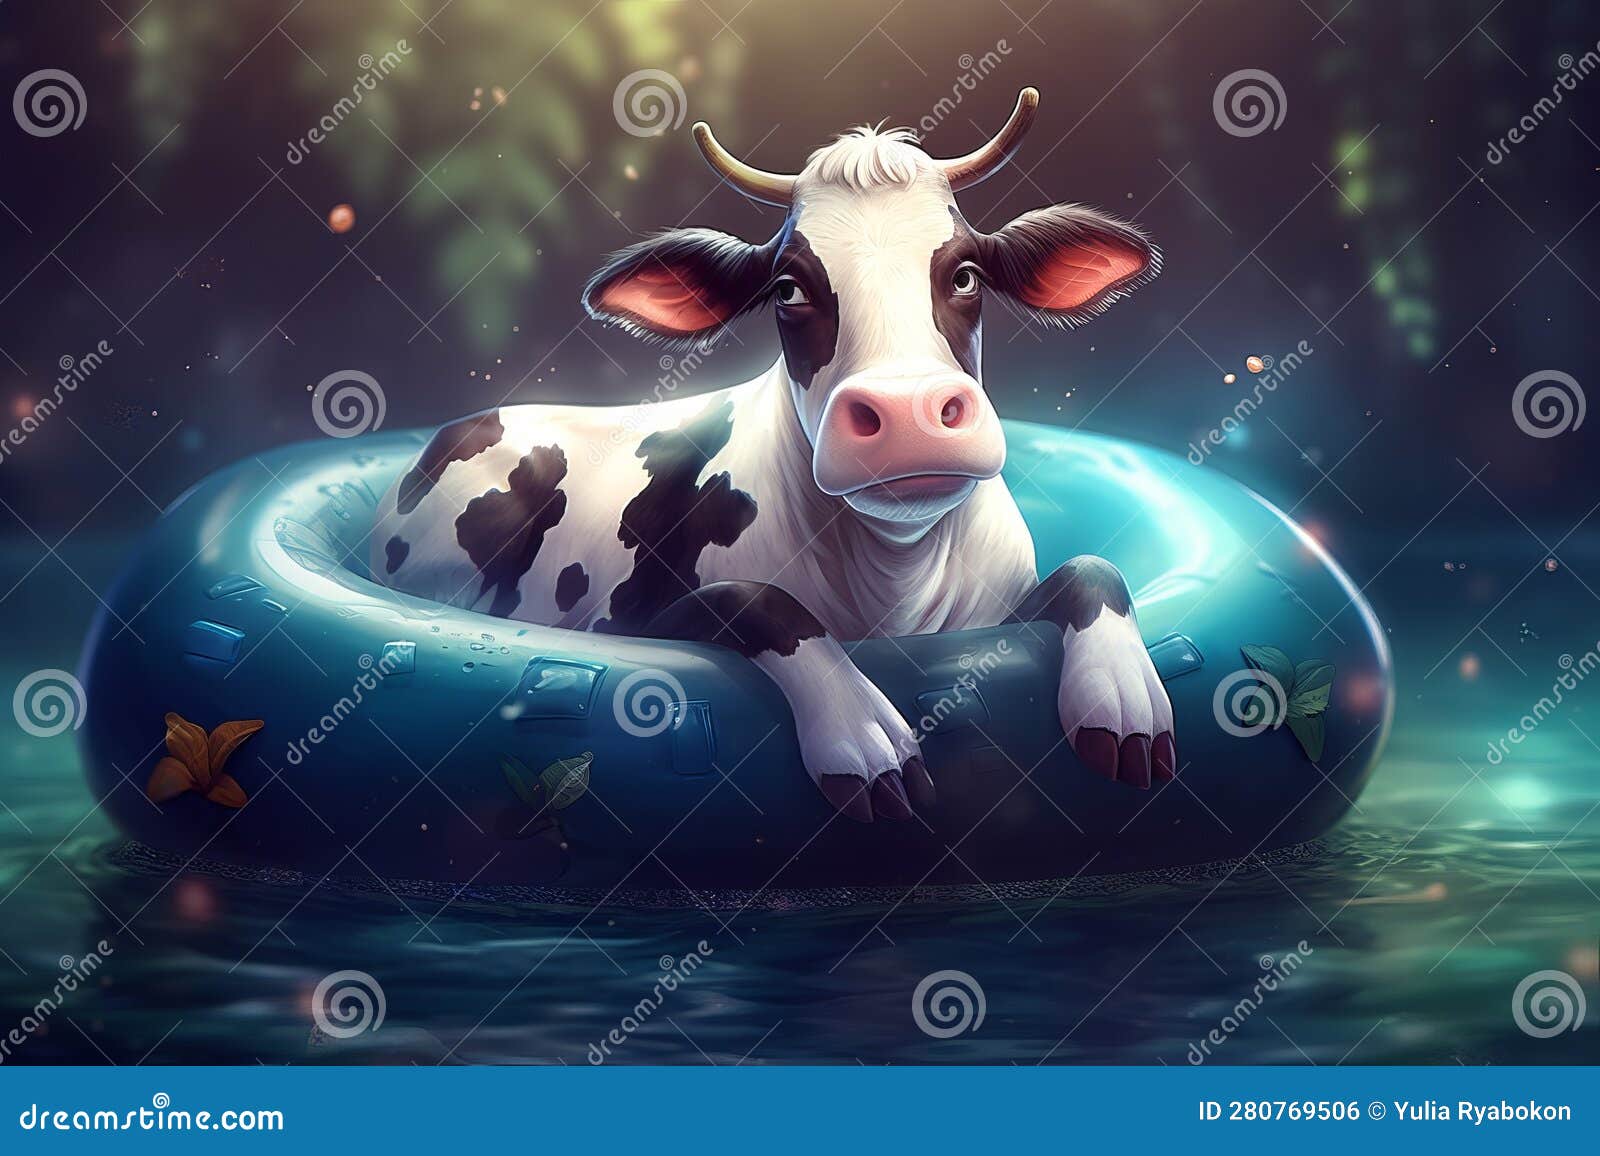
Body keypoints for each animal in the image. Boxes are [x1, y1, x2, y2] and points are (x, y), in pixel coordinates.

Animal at [372, 88, 1175, 823]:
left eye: (966, 274)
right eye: (789, 288)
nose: (908, 414)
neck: (895, 577)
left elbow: (1093, 571)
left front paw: (1125, 698)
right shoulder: (633, 621)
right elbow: (757, 600)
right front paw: (862, 735)